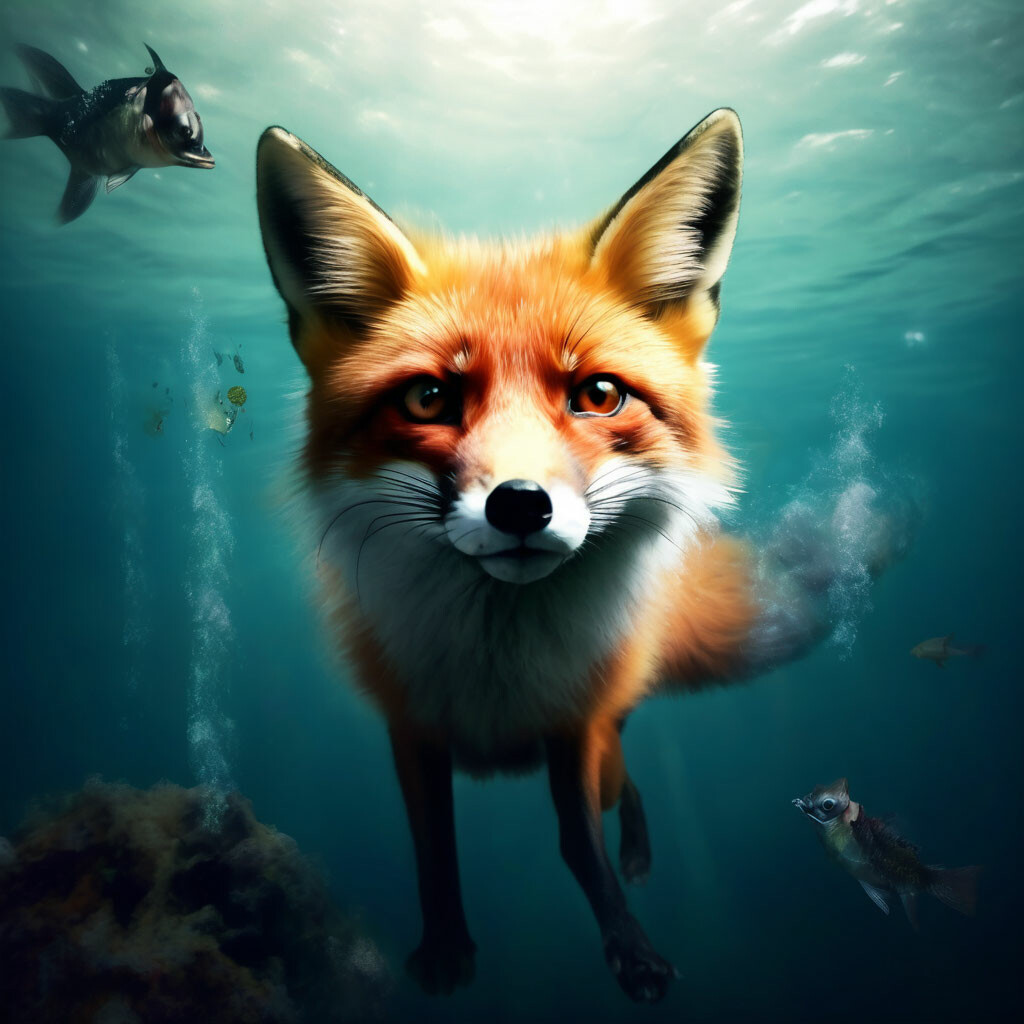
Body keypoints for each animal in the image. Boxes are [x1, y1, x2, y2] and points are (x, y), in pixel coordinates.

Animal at [254, 108, 904, 1004]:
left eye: (598, 394)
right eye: (428, 397)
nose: (520, 504)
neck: (498, 667)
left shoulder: (575, 726)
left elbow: (579, 847)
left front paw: (630, 947)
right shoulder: (410, 724)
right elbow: (433, 844)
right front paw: (447, 949)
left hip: (608, 728)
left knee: (623, 784)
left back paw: (639, 850)